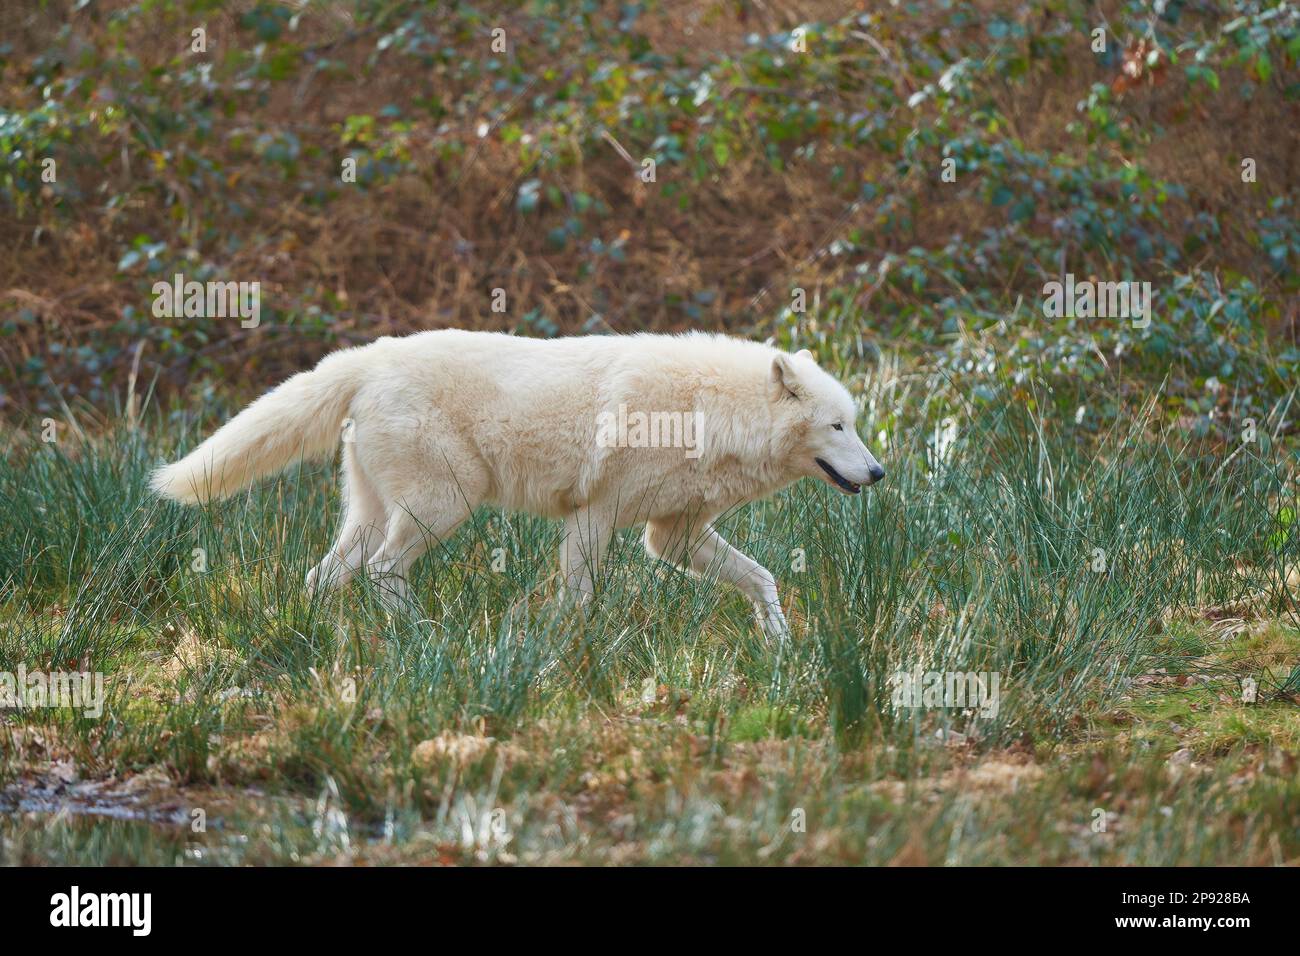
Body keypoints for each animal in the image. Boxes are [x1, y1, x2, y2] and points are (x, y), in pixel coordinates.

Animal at [151, 330, 885, 638]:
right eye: (839, 426)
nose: (879, 473)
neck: (708, 410)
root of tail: (365, 358)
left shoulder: (671, 537)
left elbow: (762, 579)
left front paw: (780, 643)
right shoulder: (594, 518)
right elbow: (580, 599)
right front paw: (560, 649)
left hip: (372, 516)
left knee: (322, 577)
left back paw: (317, 636)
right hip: (442, 508)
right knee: (384, 573)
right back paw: (427, 634)